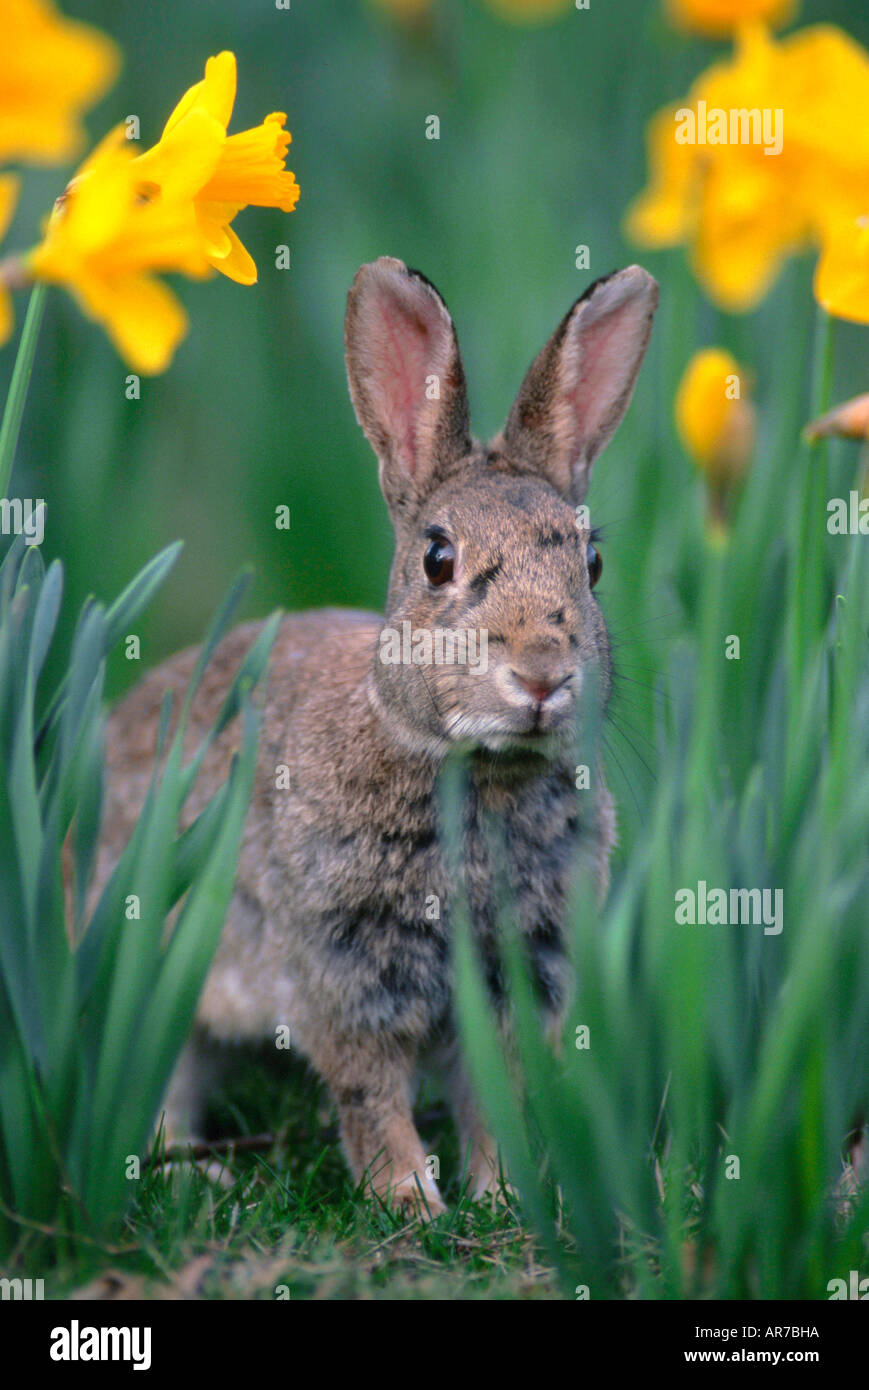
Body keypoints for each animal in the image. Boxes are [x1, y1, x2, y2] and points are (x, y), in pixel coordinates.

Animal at [95, 257, 658, 1216]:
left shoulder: (521, 978)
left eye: (590, 566)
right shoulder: (343, 972)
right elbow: (370, 1093)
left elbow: (493, 1095)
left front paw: (500, 1196)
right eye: (438, 559)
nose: (541, 674)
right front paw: (409, 1198)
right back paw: (198, 1173)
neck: (470, 768)